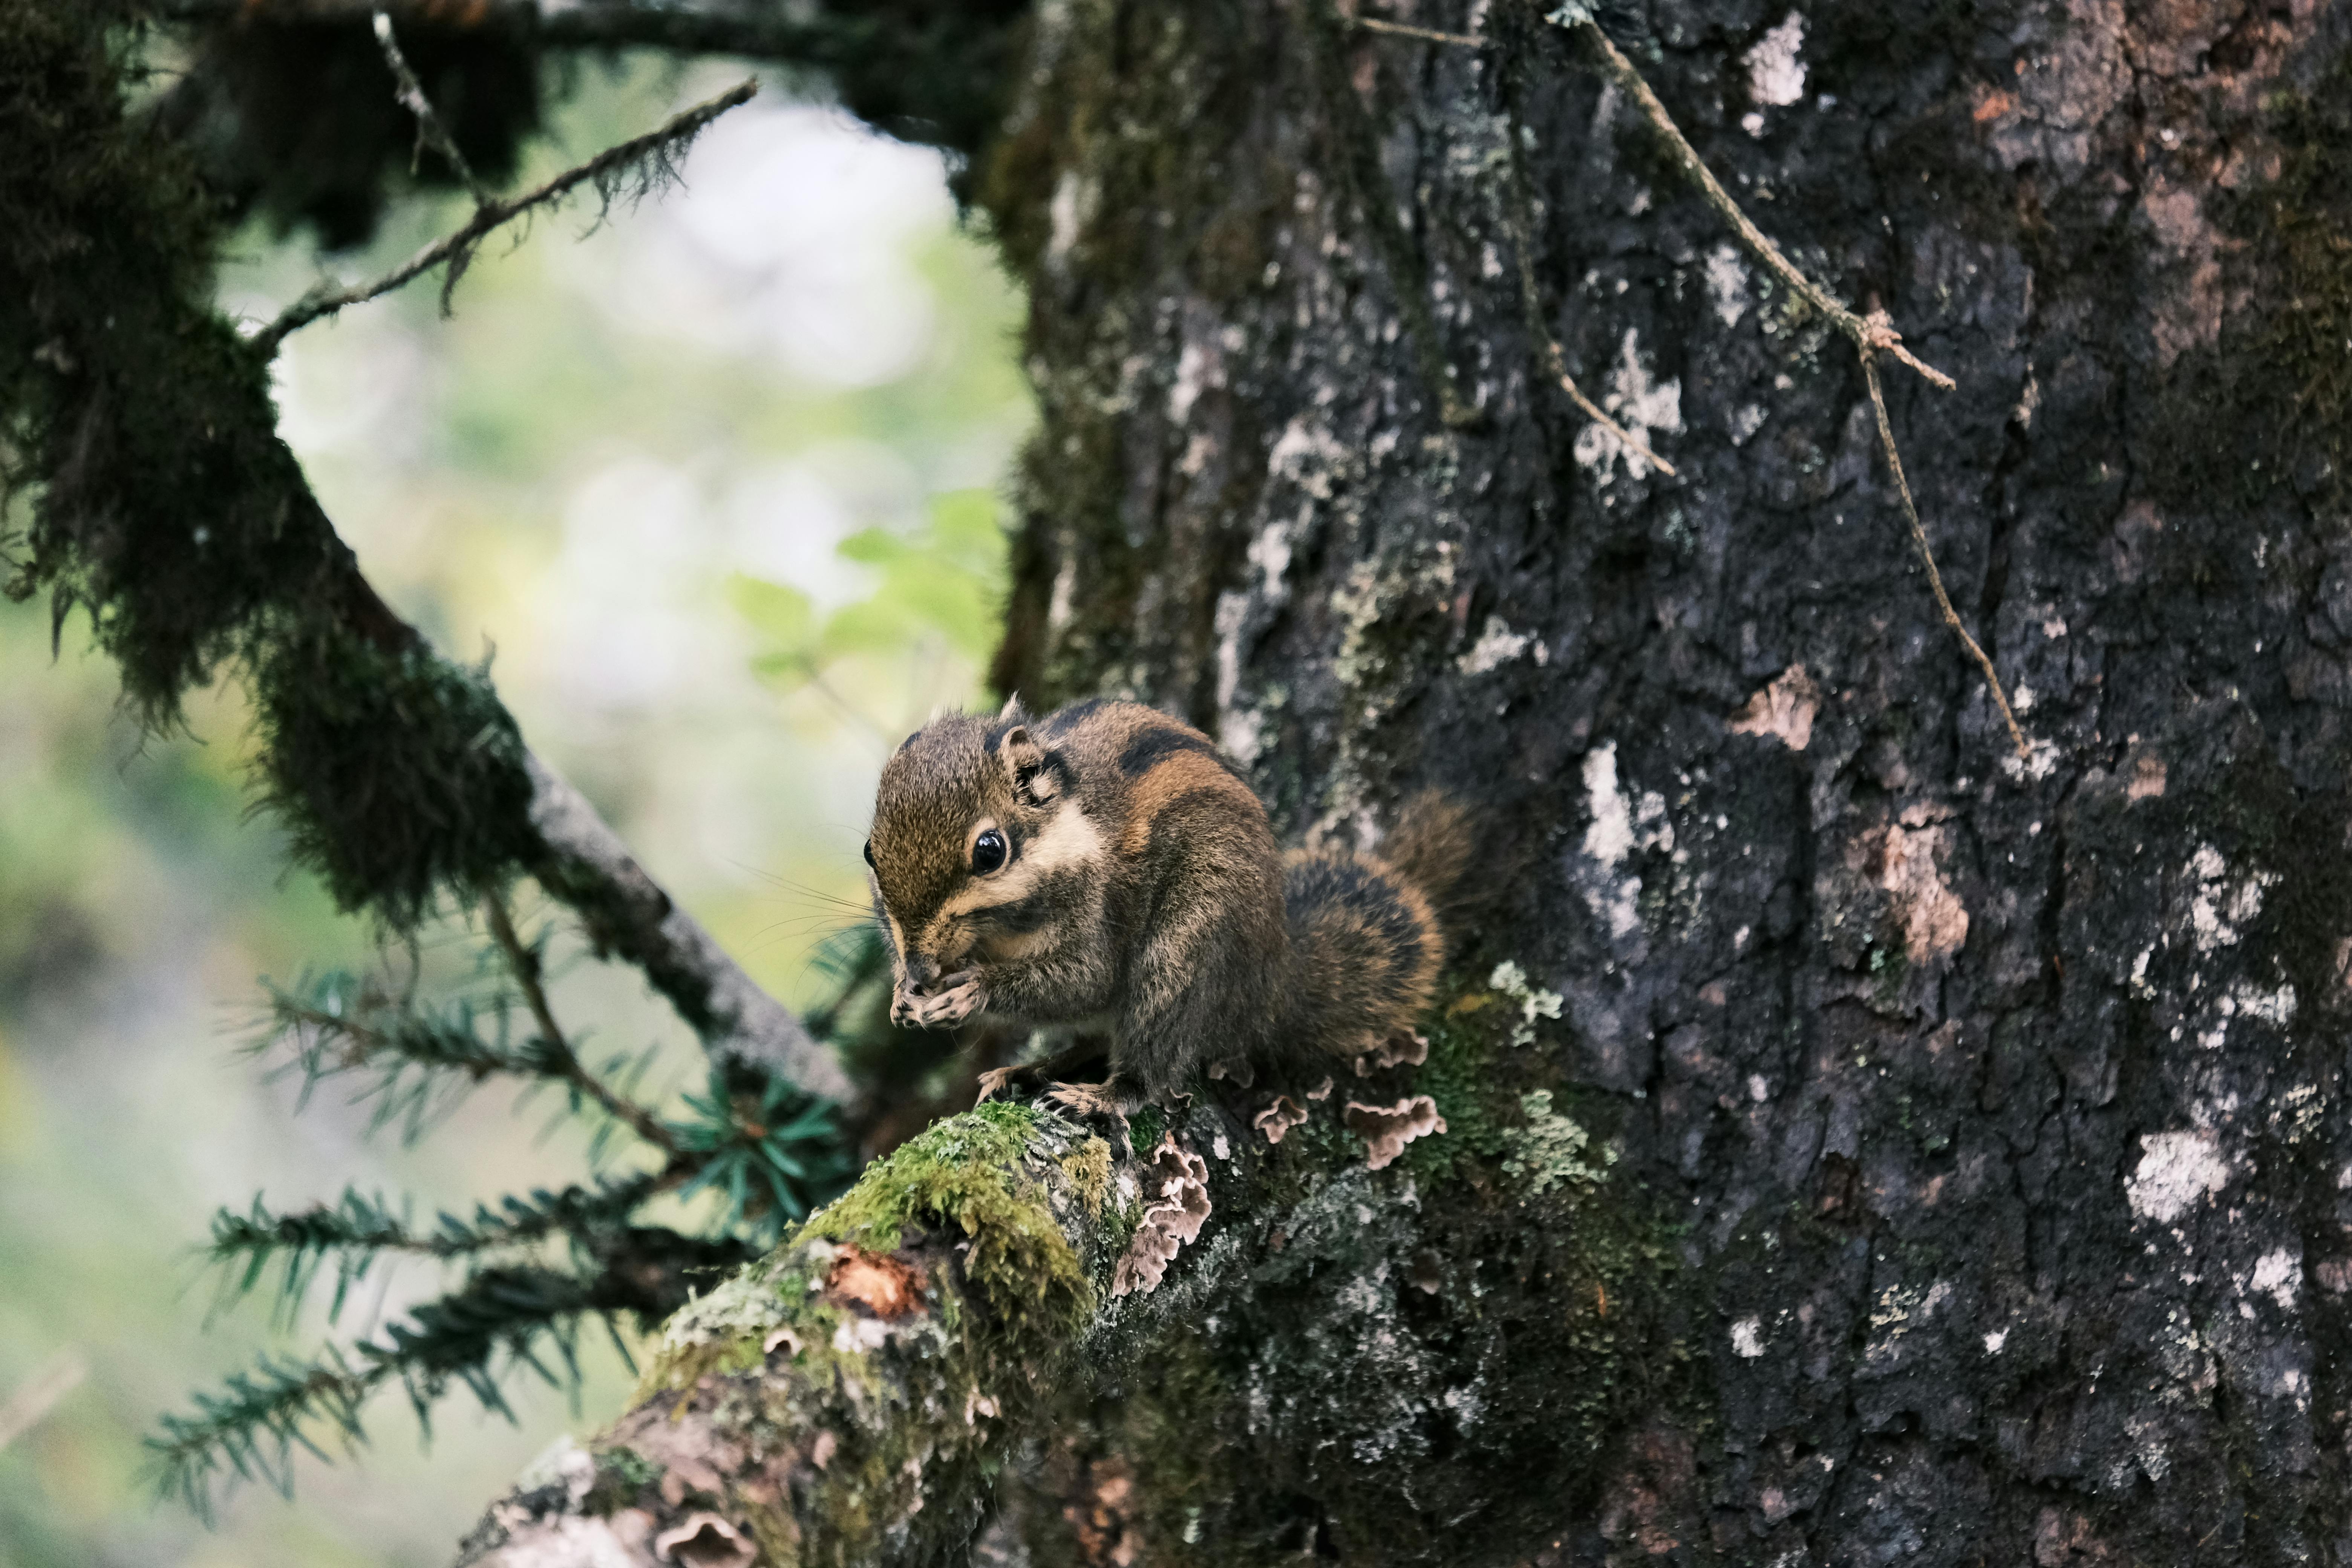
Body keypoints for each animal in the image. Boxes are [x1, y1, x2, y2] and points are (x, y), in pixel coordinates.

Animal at [862, 696, 1470, 1116]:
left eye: (990, 851)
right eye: (869, 851)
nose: (920, 969)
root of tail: (1271, 983)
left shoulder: (1098, 915)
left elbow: (1085, 979)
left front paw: (971, 991)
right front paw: (902, 997)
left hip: (1183, 952)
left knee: (1150, 1062)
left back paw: (1102, 1096)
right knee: (1091, 1038)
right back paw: (1029, 1070)